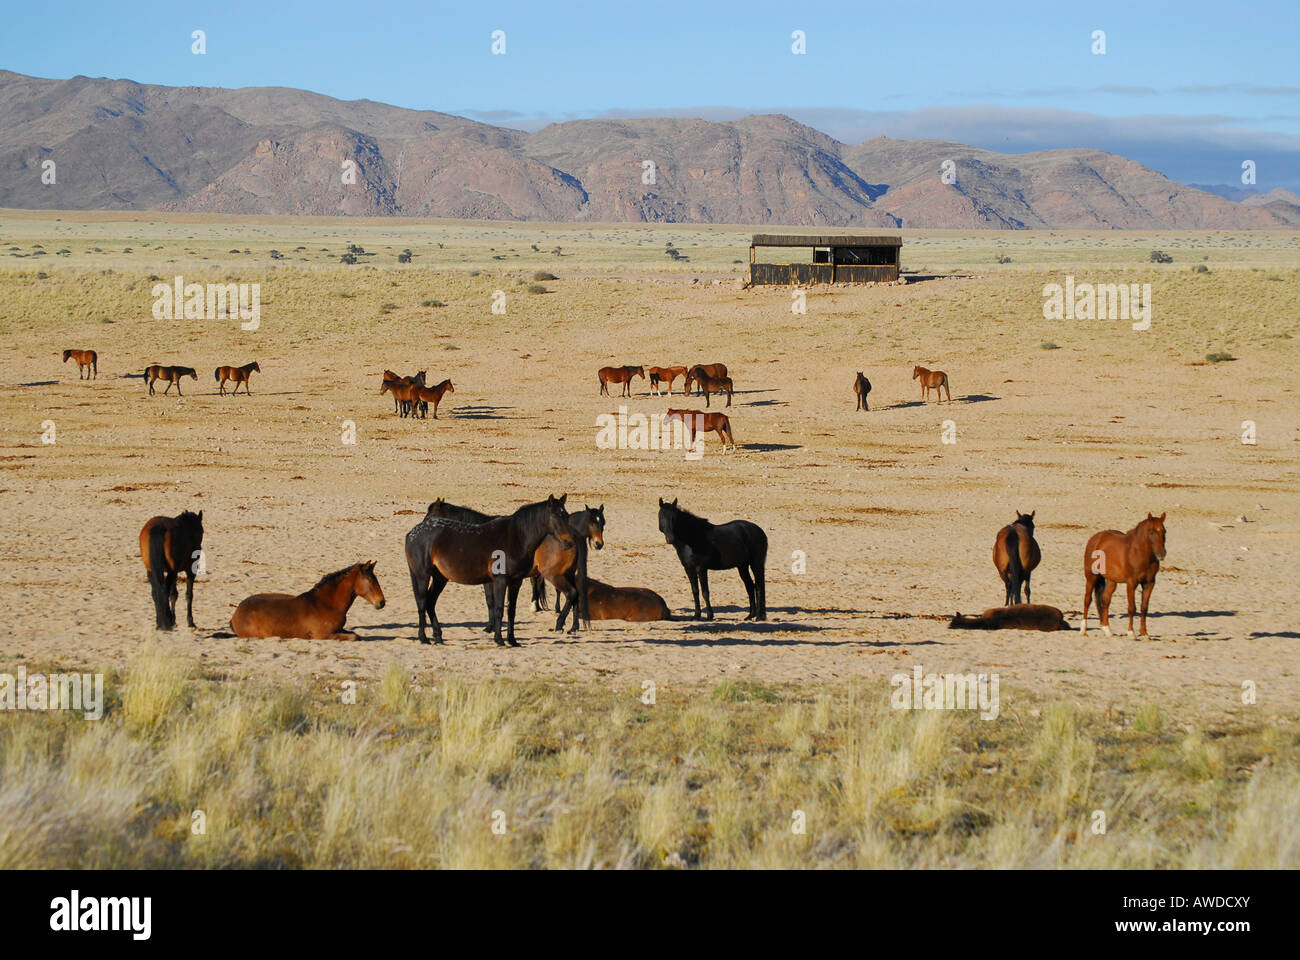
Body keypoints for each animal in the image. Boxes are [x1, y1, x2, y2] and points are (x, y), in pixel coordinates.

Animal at [231, 562, 385, 639]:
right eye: (370, 580)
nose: (381, 602)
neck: (326, 604)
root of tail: (237, 612)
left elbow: (354, 634)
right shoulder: (323, 635)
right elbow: (355, 637)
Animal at [405, 495, 573, 645]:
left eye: (566, 515)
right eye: (554, 515)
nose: (568, 542)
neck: (516, 537)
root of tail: (412, 534)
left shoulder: (515, 582)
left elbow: (511, 611)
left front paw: (512, 640)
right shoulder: (499, 581)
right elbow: (497, 608)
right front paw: (498, 639)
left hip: (440, 578)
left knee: (430, 602)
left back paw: (438, 637)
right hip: (423, 576)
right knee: (422, 603)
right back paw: (424, 638)